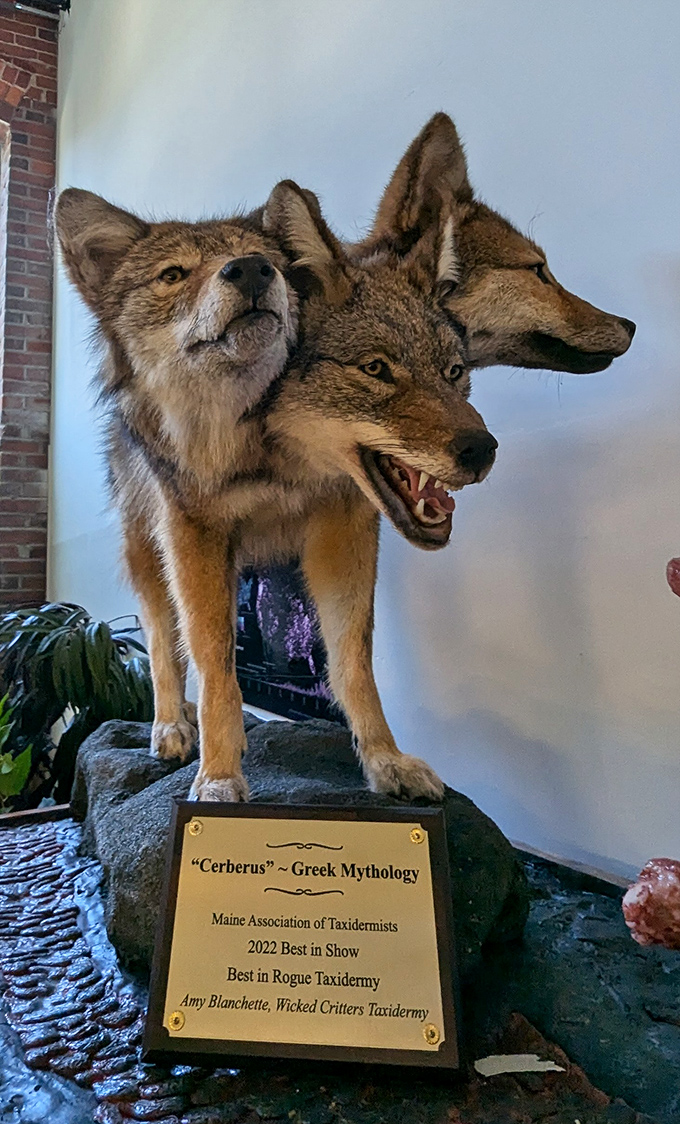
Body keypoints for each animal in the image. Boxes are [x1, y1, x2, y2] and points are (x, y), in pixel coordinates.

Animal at [56, 180, 495, 803]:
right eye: (376, 369)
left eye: (454, 372)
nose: (483, 449)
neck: (270, 452)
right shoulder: (195, 540)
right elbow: (214, 663)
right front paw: (218, 775)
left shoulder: (343, 533)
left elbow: (353, 664)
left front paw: (385, 760)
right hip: (147, 553)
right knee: (162, 643)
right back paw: (170, 727)